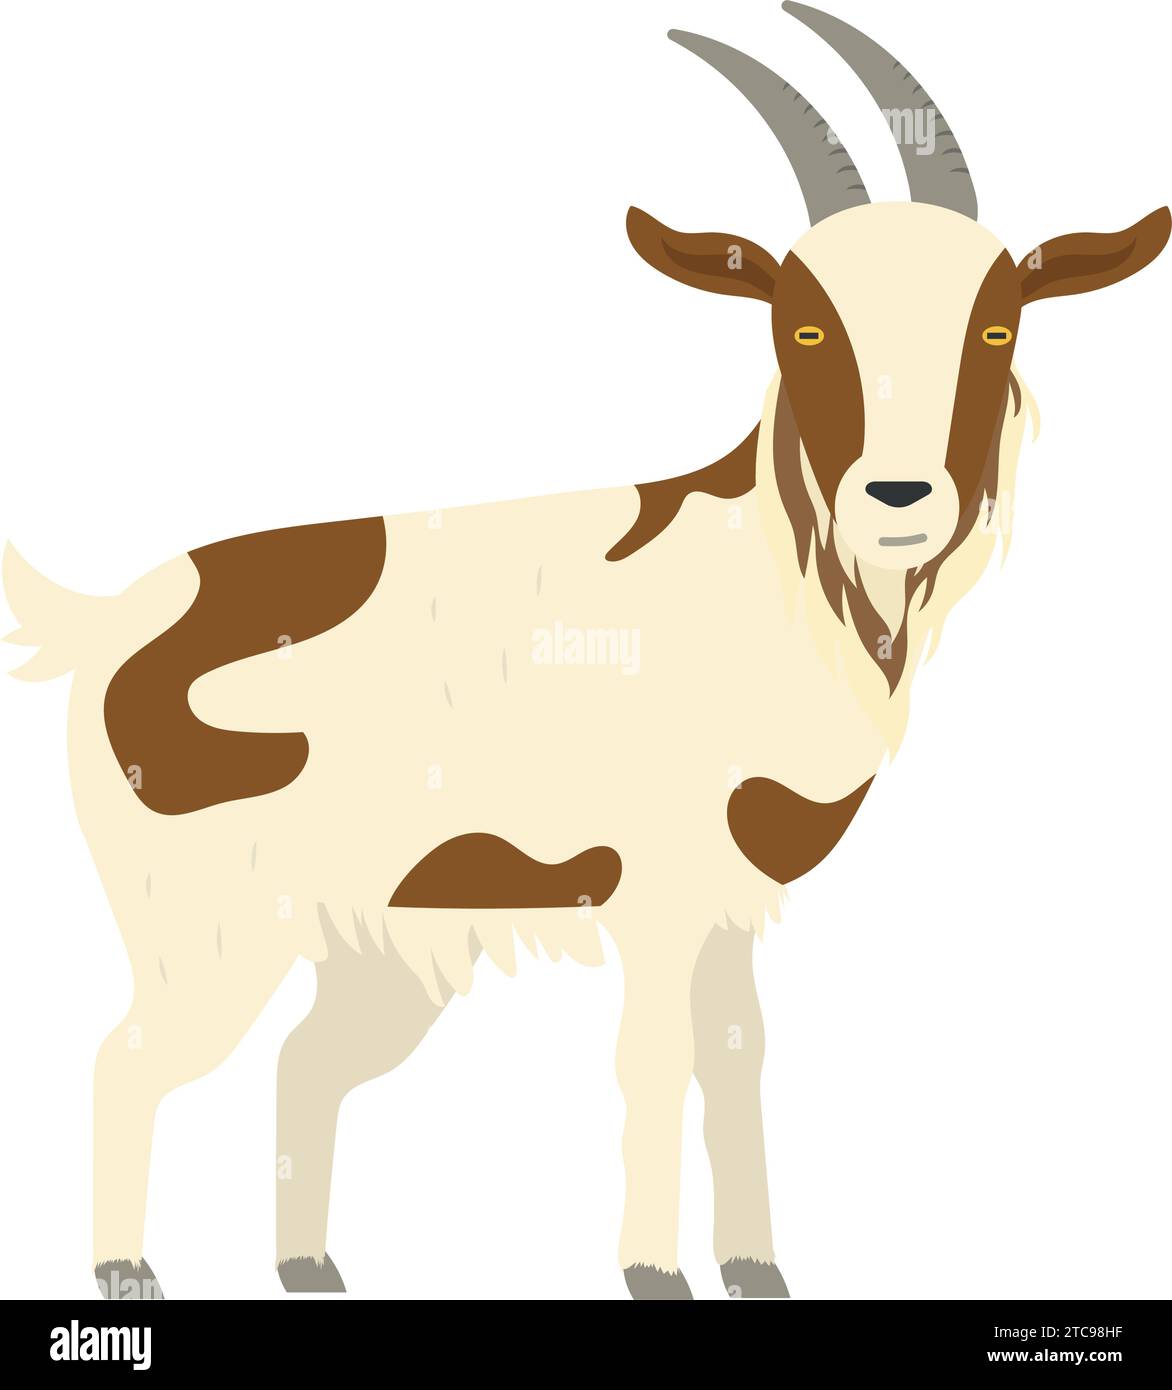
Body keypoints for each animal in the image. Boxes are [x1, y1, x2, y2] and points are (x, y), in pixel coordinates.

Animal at [3, 3, 1168, 1301]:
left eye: (996, 319)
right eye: (803, 321)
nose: (897, 500)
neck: (765, 575)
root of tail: (104, 618)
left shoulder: (731, 899)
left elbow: (736, 1052)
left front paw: (756, 1270)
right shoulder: (655, 890)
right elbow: (655, 1054)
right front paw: (654, 1274)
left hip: (370, 945)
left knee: (303, 1058)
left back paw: (311, 1264)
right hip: (199, 926)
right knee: (127, 1055)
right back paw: (127, 1273)